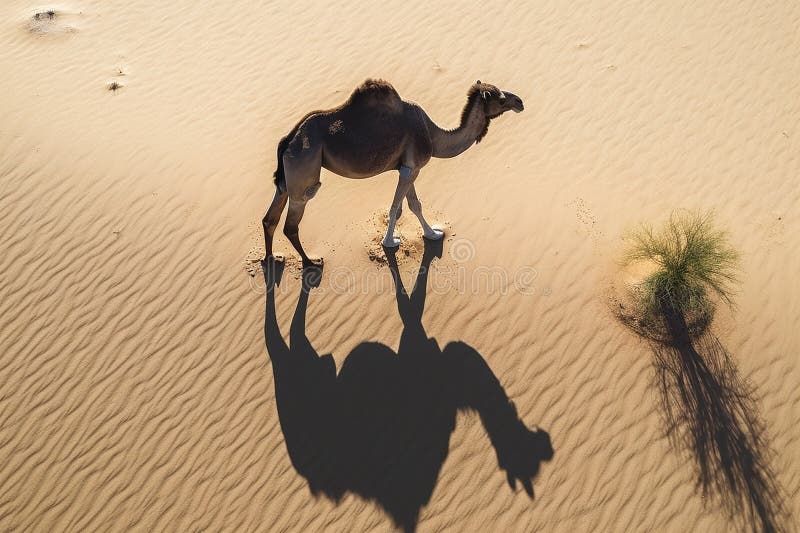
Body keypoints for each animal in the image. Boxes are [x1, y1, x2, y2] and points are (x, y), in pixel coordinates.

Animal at [262, 79, 524, 266]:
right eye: (501, 99)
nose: (520, 101)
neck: (433, 135)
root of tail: (288, 139)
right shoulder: (411, 169)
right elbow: (397, 208)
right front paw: (391, 242)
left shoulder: (407, 167)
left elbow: (414, 204)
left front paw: (433, 234)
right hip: (304, 170)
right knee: (292, 221)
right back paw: (311, 263)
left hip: (288, 177)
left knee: (270, 216)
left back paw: (272, 259)